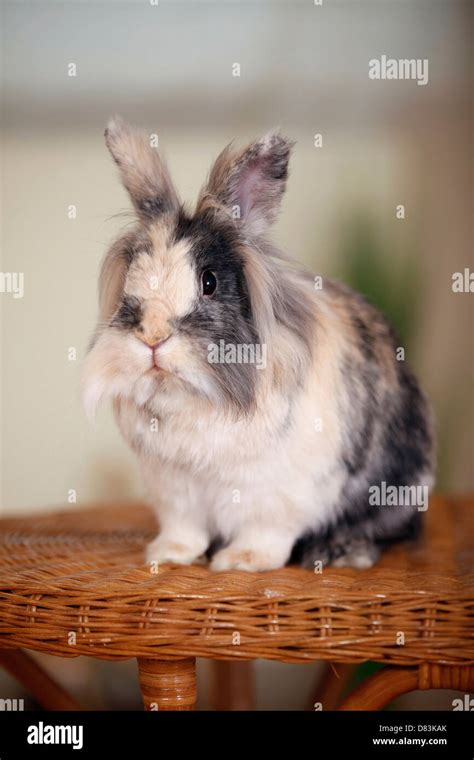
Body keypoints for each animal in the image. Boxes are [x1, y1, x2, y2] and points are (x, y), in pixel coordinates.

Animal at [82, 115, 435, 572]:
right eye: (131, 279)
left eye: (209, 282)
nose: (153, 337)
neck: (195, 396)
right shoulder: (175, 492)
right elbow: (183, 529)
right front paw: (169, 554)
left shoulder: (278, 494)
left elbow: (266, 532)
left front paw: (240, 561)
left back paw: (341, 550)